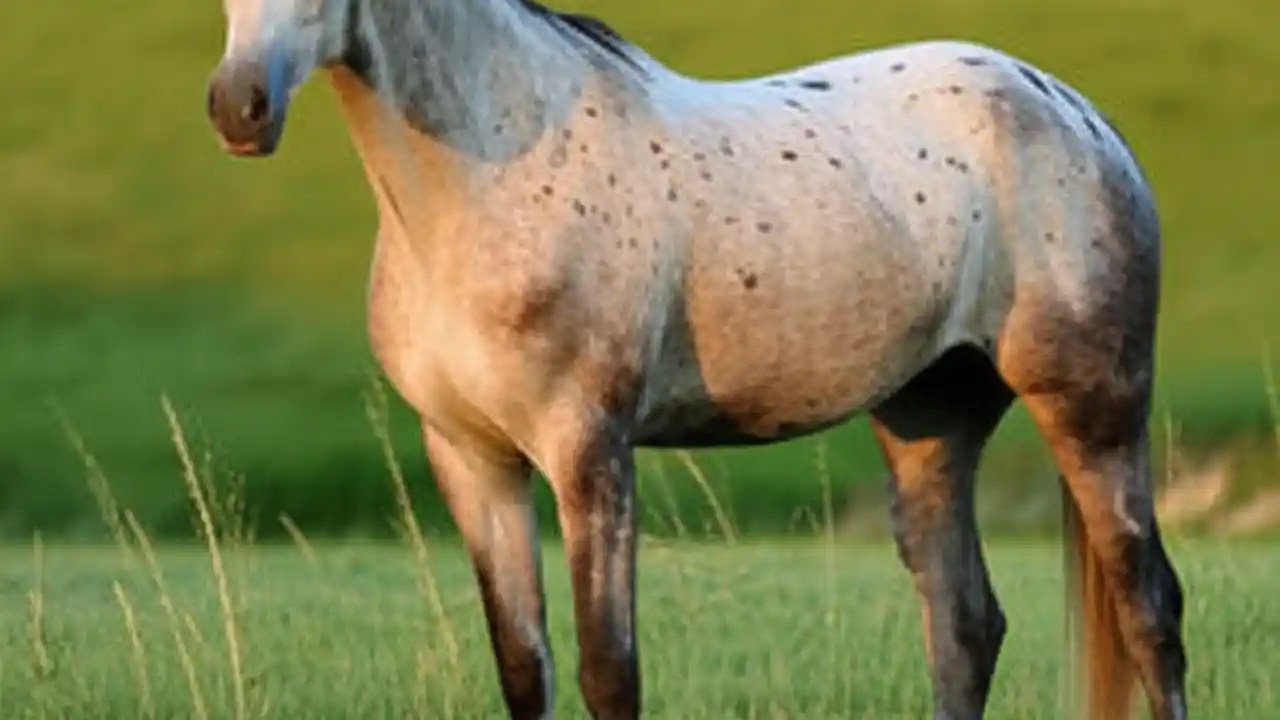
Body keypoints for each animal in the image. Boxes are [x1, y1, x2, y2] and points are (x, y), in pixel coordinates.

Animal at [205, 1, 1188, 718]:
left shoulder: (588, 451)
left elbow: (609, 671)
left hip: (1093, 409)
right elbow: (525, 669)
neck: (487, 180)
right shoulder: (470, 458)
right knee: (964, 627)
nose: (238, 106)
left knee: (1152, 610)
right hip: (931, 419)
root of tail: (1085, 120)